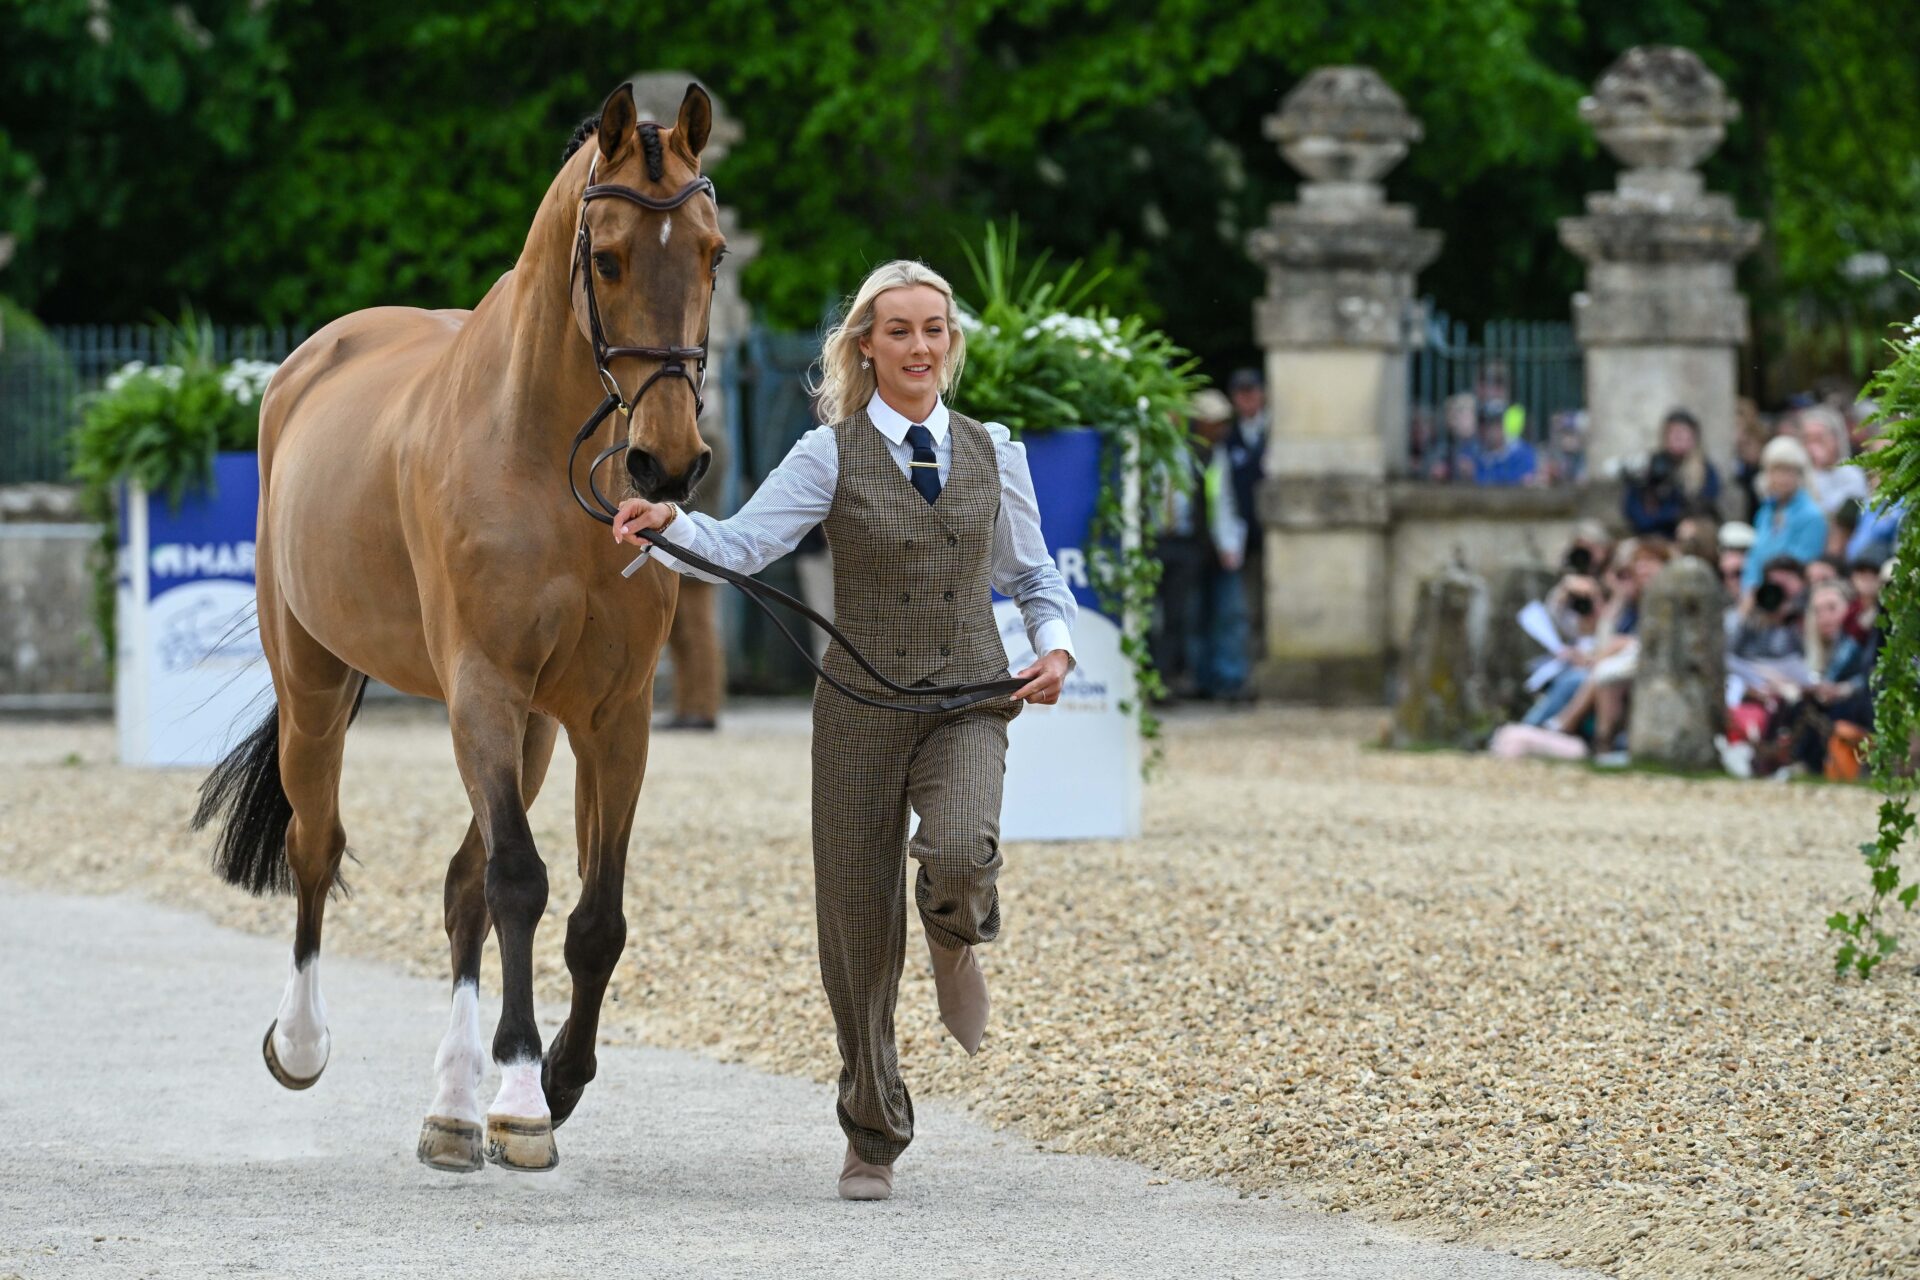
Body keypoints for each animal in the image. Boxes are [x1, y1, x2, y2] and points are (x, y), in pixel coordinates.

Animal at [191, 81, 724, 1173]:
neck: (542, 456)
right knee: (317, 842)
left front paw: (555, 1080)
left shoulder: (611, 714)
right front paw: (520, 1092)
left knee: (458, 884)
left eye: (711, 252)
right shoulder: (481, 685)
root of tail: (308, 362)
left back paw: (449, 1106)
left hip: (534, 729)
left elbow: (592, 915)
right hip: (316, 686)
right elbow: (521, 879)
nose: (668, 462)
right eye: (609, 255)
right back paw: (303, 1043)